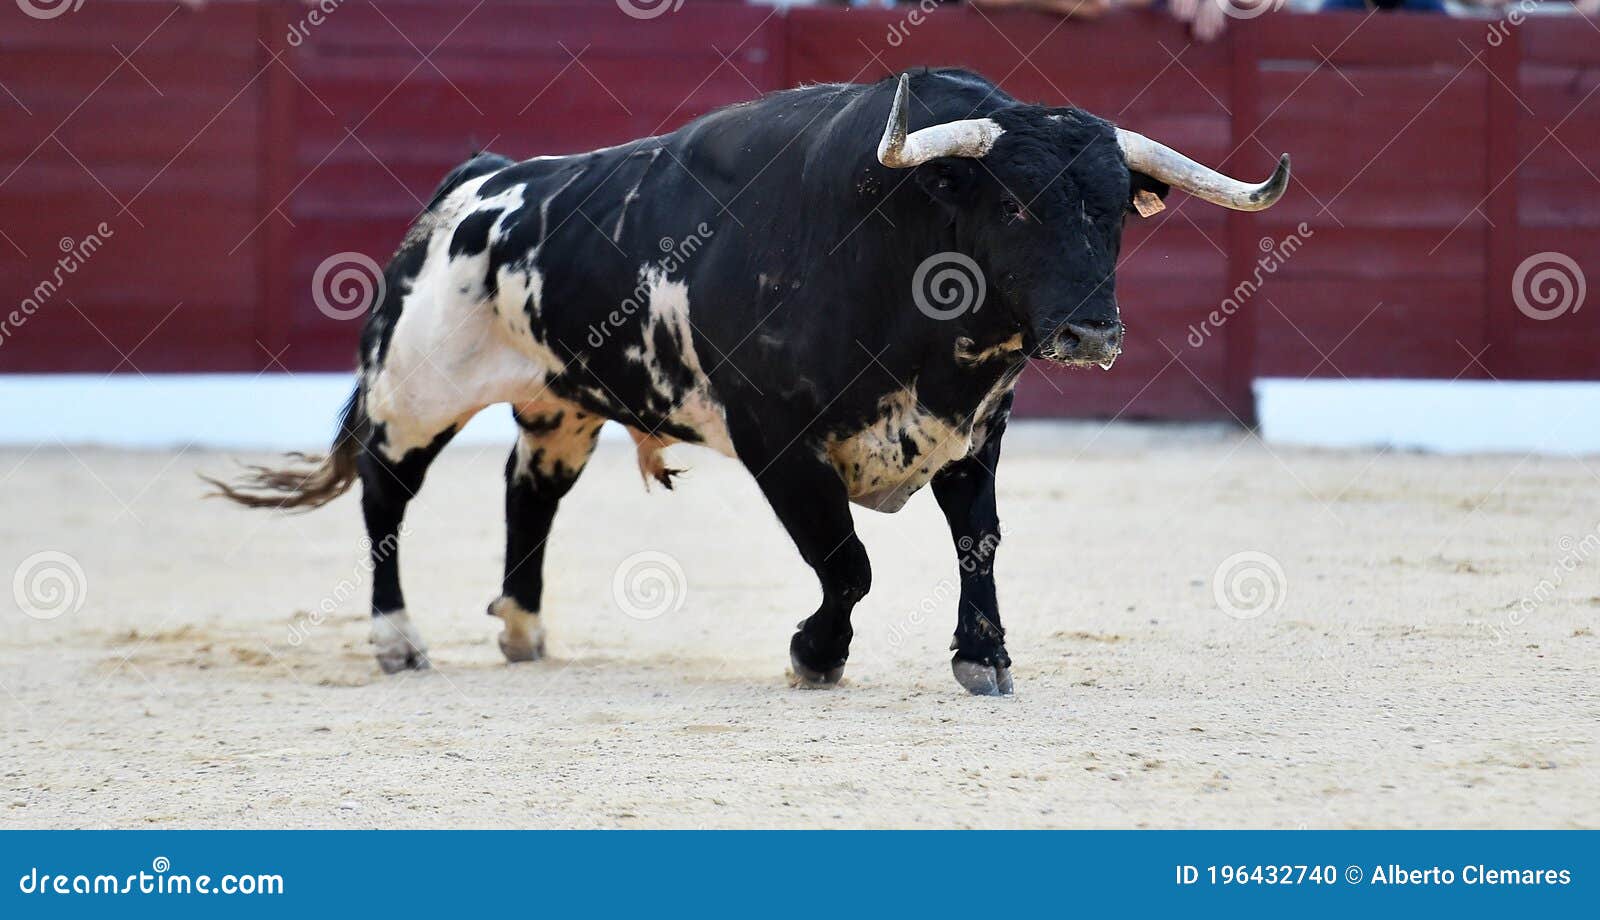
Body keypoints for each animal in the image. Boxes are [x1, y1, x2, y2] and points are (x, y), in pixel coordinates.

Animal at [210, 68, 1288, 695]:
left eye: (1116, 211)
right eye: (1017, 204)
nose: (1091, 331)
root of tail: (475, 180)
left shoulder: (973, 428)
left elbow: (977, 541)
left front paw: (983, 656)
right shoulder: (778, 441)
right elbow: (846, 562)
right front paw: (816, 654)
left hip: (559, 403)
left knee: (528, 492)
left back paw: (522, 629)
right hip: (414, 390)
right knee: (386, 498)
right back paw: (398, 640)